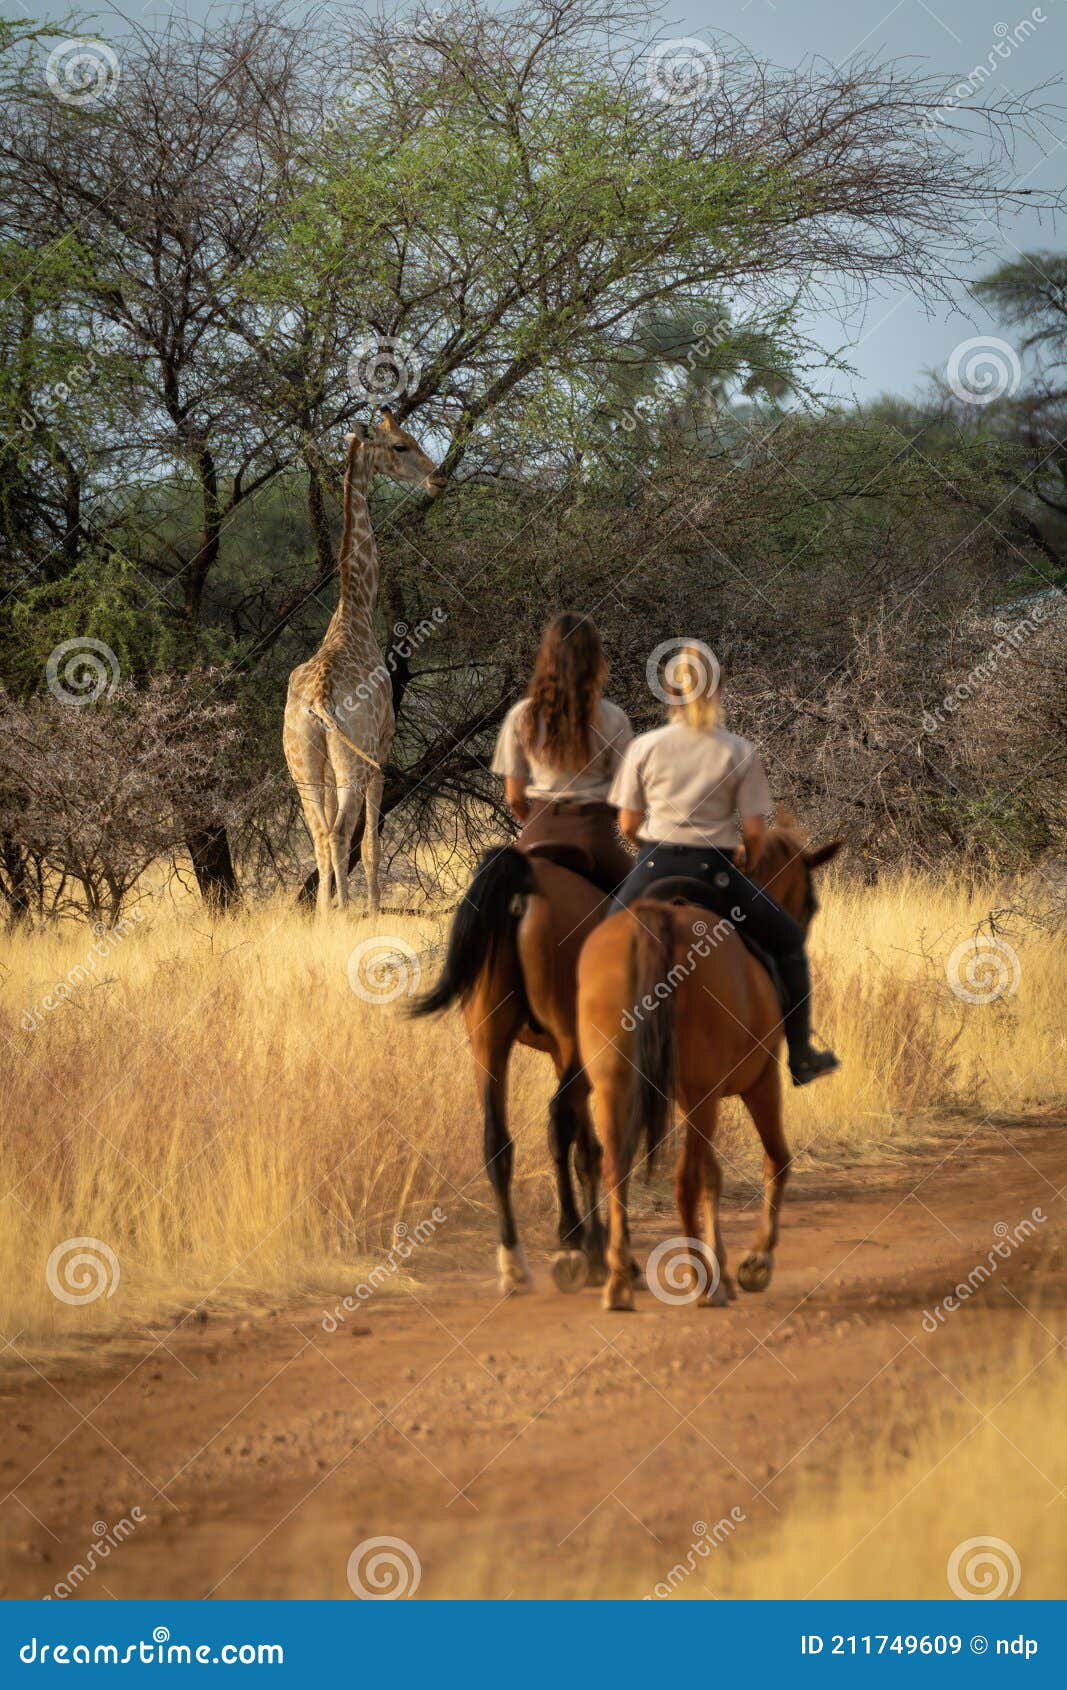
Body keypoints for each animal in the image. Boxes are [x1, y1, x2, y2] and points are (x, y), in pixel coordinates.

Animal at [283, 411, 445, 916]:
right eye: (400, 445)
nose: (437, 478)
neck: (354, 612)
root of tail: (317, 703)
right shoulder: (382, 751)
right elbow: (372, 843)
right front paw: (372, 908)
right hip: (351, 765)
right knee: (339, 834)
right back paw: (344, 912)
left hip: (302, 765)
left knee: (319, 835)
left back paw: (322, 914)